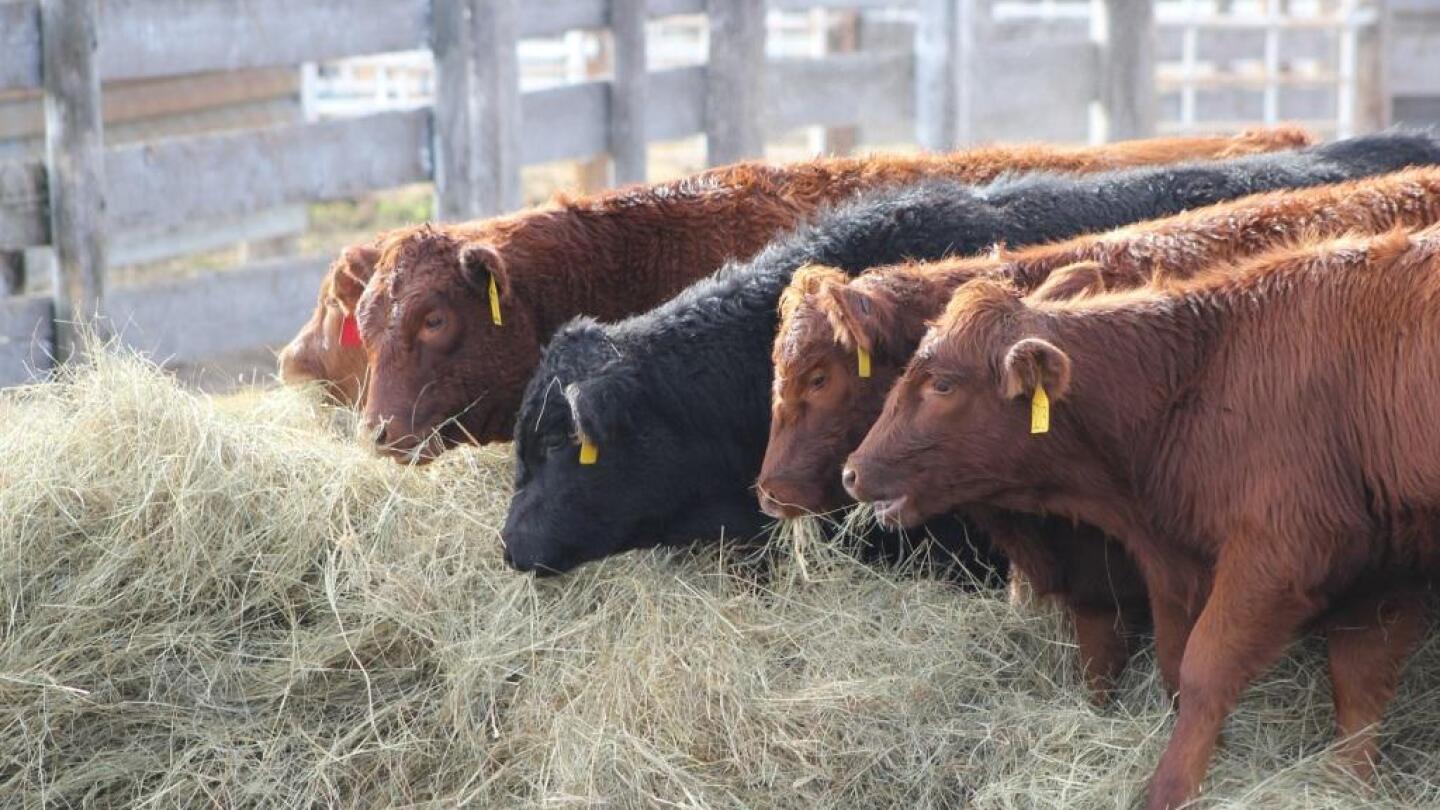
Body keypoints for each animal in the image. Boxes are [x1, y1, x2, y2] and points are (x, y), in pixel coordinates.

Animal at [842, 225, 1440, 808]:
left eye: (942, 384)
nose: (852, 471)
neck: (1202, 377)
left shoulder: (1279, 555)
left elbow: (1204, 671)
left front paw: (1170, 789)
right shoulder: (1376, 575)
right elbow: (1355, 687)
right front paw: (1349, 787)